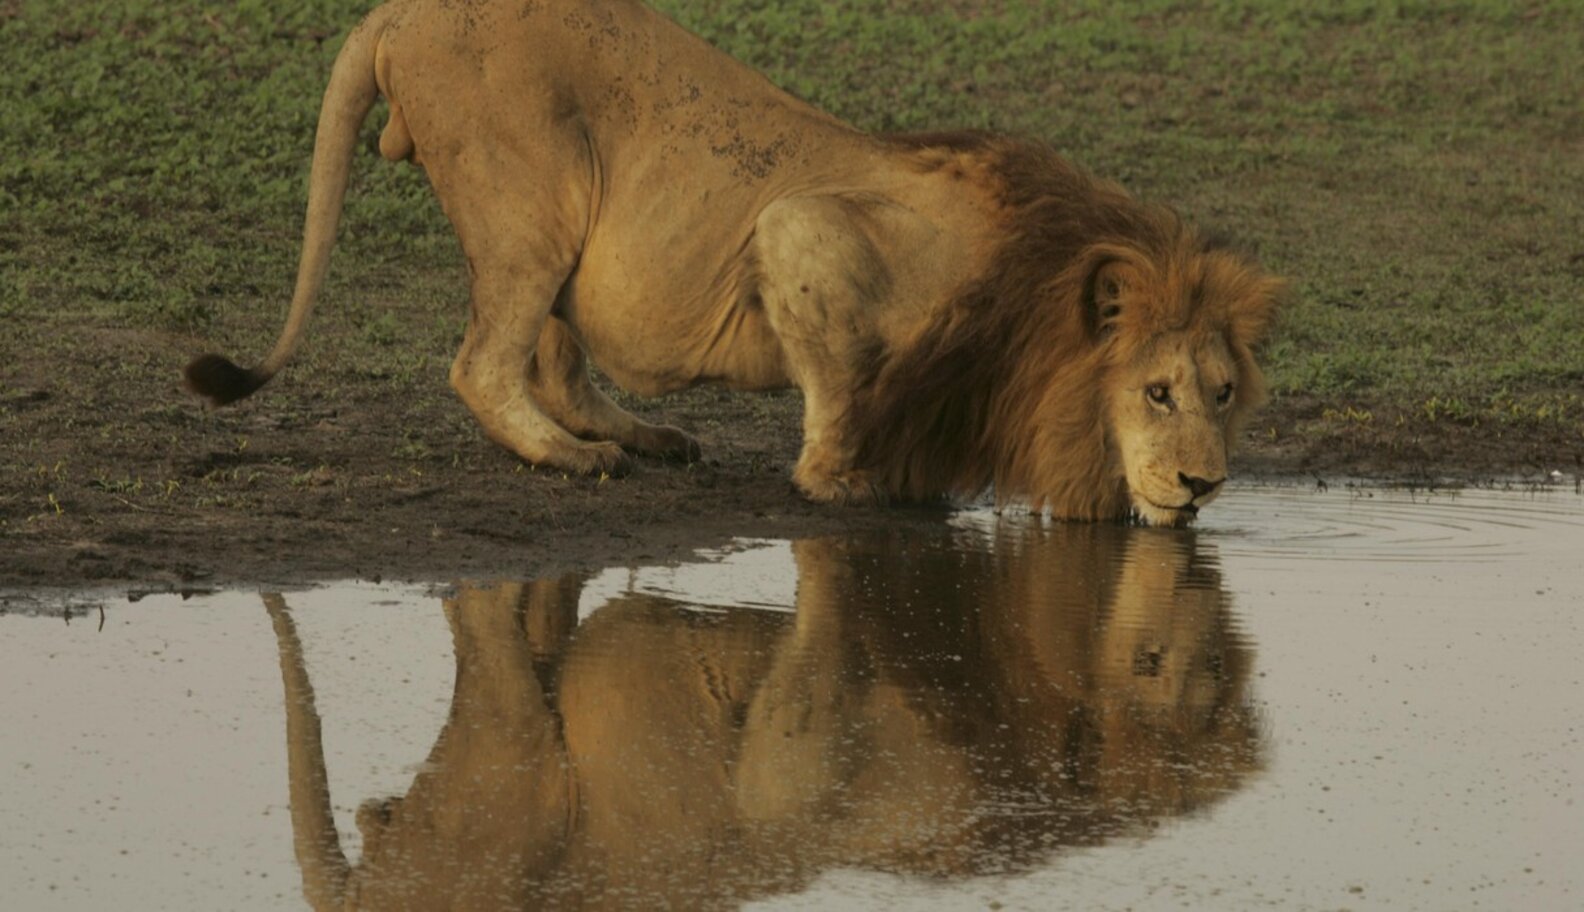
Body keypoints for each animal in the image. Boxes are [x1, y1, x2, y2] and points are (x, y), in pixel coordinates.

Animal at [185, 0, 1282, 524]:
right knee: (482, 363)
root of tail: (398, 11)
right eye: (1156, 392)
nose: (1203, 487)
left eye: (1224, 393)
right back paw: (576, 458)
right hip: (533, 195)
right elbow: (838, 388)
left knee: (549, 360)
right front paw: (840, 483)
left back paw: (640, 435)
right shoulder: (800, 231)